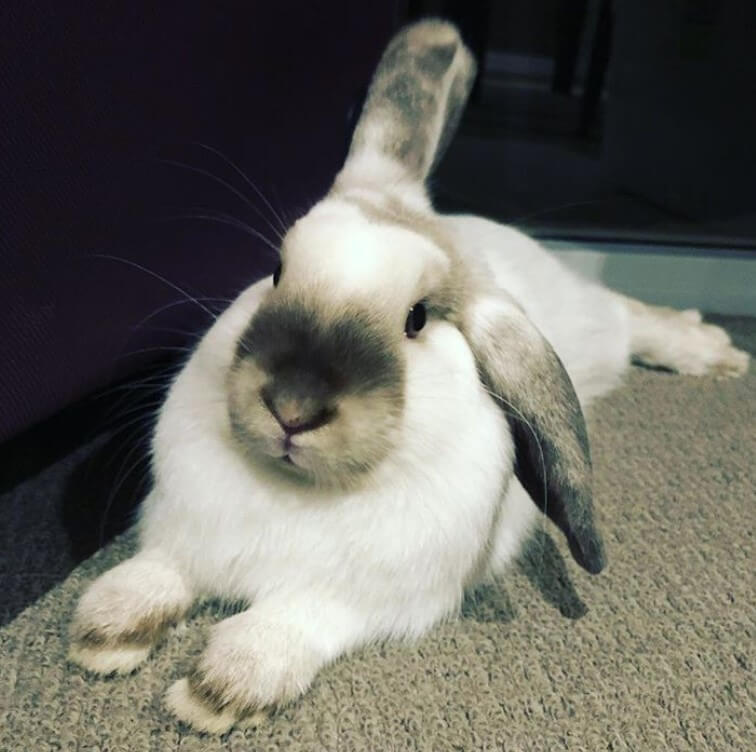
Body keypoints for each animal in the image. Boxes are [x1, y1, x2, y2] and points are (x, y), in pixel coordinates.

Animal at [68, 19, 749, 733]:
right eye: (277, 271)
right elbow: (154, 574)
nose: (293, 406)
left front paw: (216, 694)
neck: (296, 489)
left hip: (592, 327)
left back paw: (711, 348)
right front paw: (105, 632)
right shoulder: (177, 539)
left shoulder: (352, 602)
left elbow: (278, 628)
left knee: (627, 315)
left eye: (417, 319)